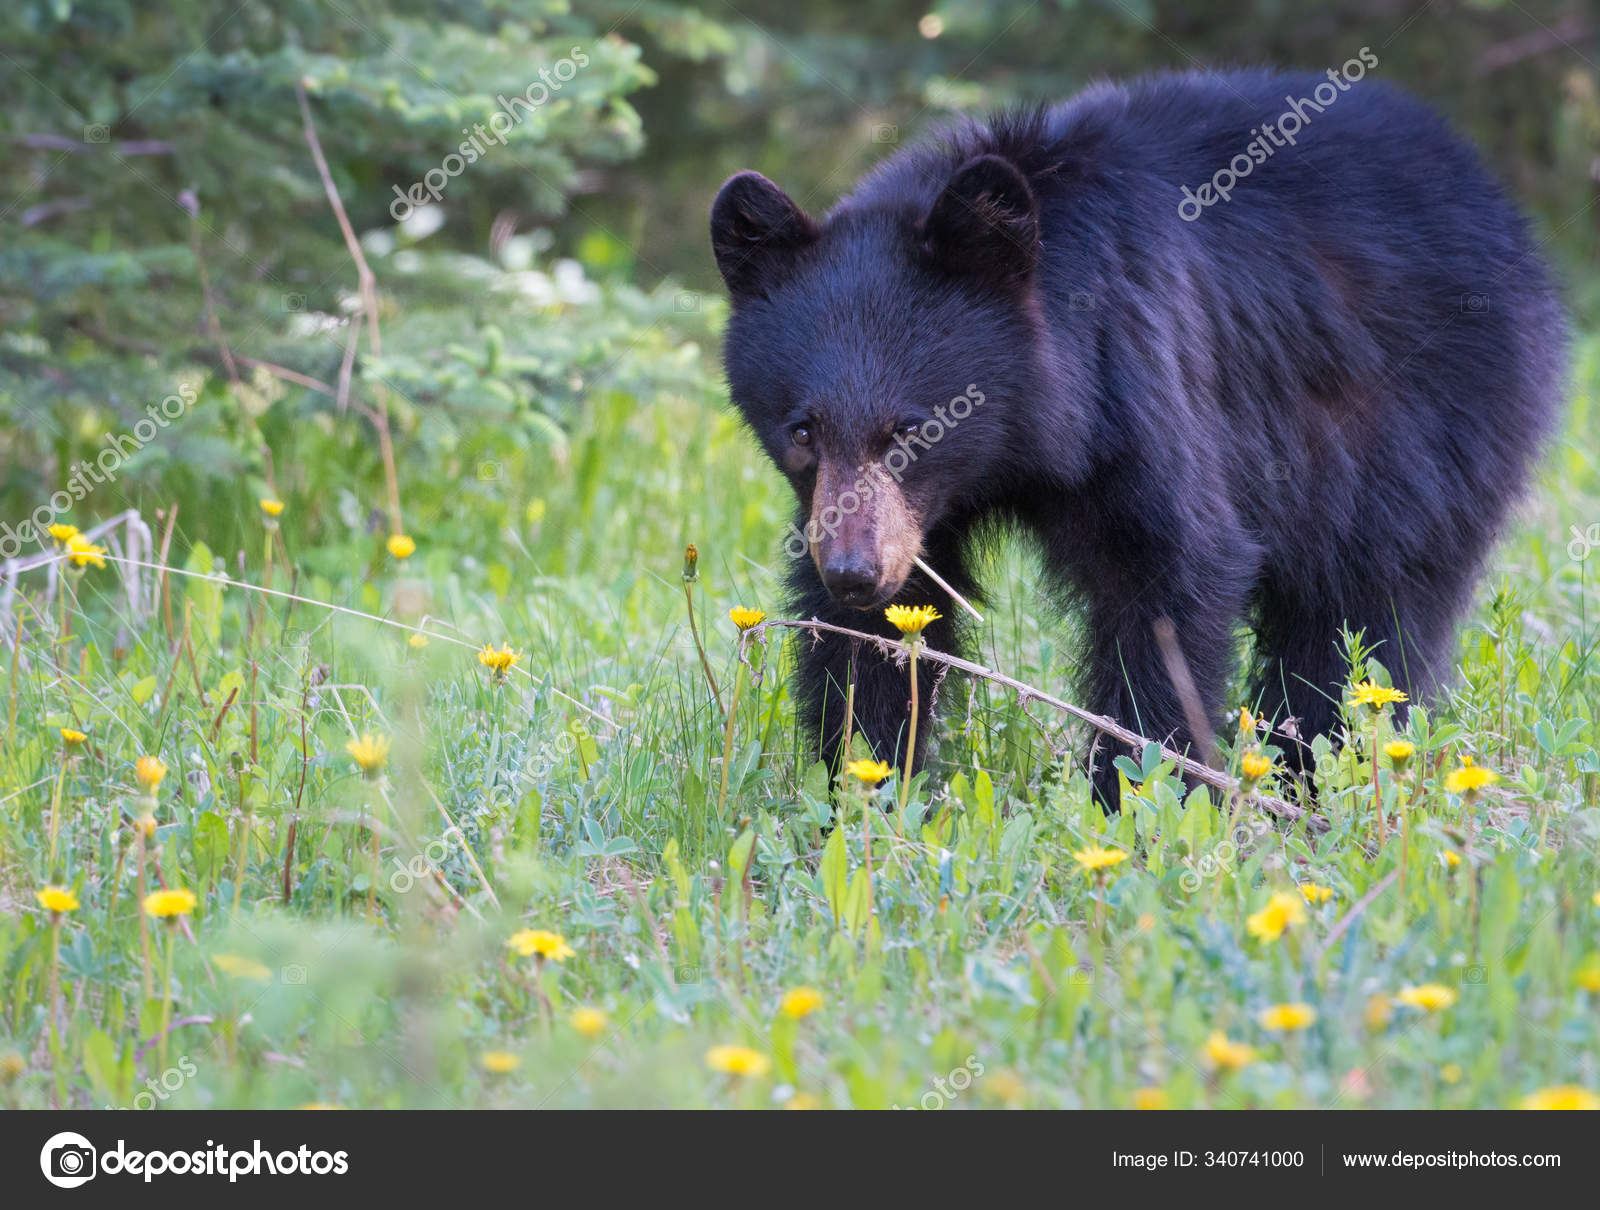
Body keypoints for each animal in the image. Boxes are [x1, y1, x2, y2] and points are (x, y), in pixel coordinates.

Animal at [710, 67, 1567, 808]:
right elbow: (875, 638)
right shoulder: (897, 517)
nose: (854, 571)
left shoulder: (1139, 381)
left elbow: (1171, 575)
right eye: (803, 430)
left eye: (912, 429)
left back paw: (1317, 775)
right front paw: (865, 782)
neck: (1031, 440)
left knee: (1368, 613)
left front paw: (1139, 797)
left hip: (1427, 423)